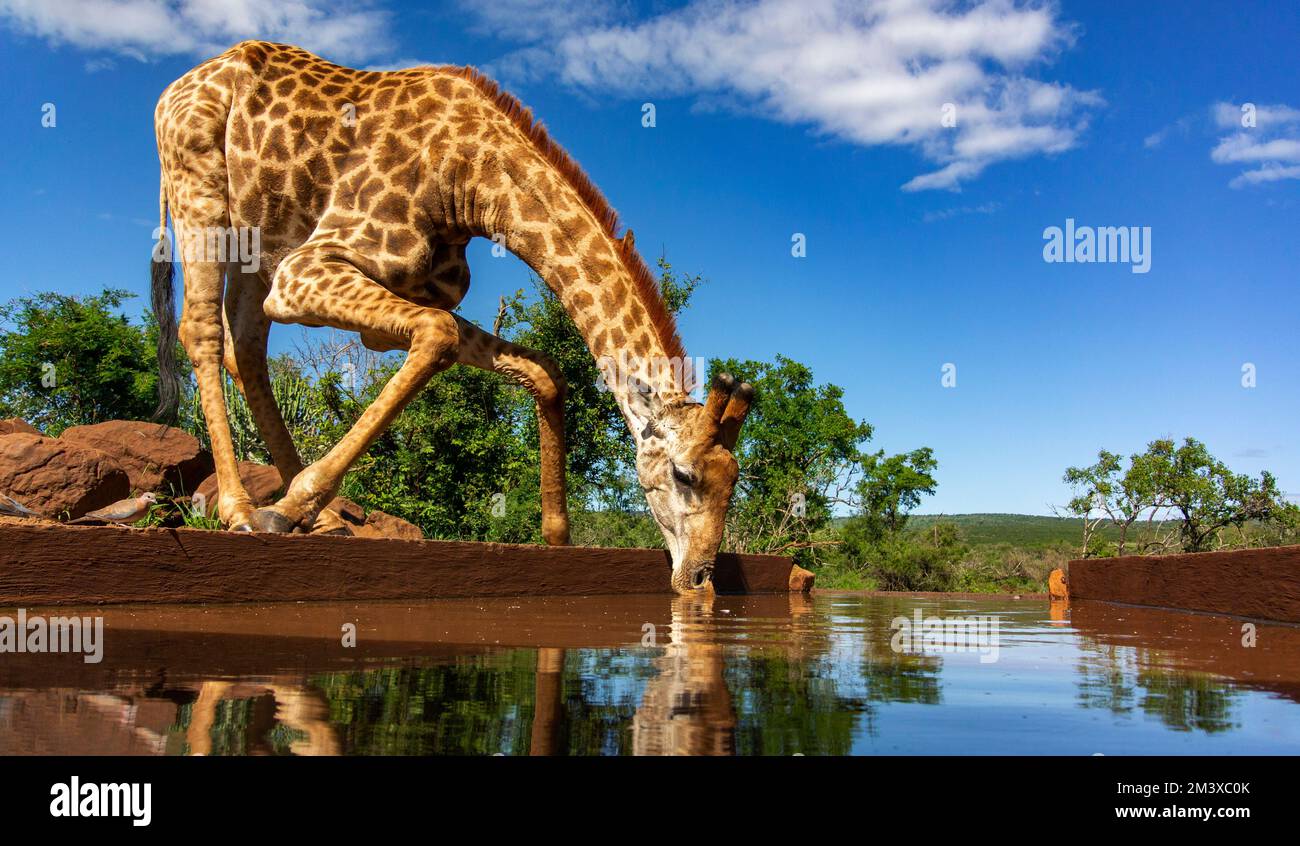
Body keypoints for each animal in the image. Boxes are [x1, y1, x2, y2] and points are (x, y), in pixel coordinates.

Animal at [151, 41, 754, 593]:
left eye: (734, 482)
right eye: (684, 474)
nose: (699, 578)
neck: (472, 180)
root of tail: (175, 88)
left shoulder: (396, 312)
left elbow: (542, 370)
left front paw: (556, 537)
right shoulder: (308, 268)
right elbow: (439, 336)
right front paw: (291, 503)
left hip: (258, 238)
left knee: (245, 346)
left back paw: (316, 520)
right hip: (200, 188)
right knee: (203, 330)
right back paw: (241, 510)